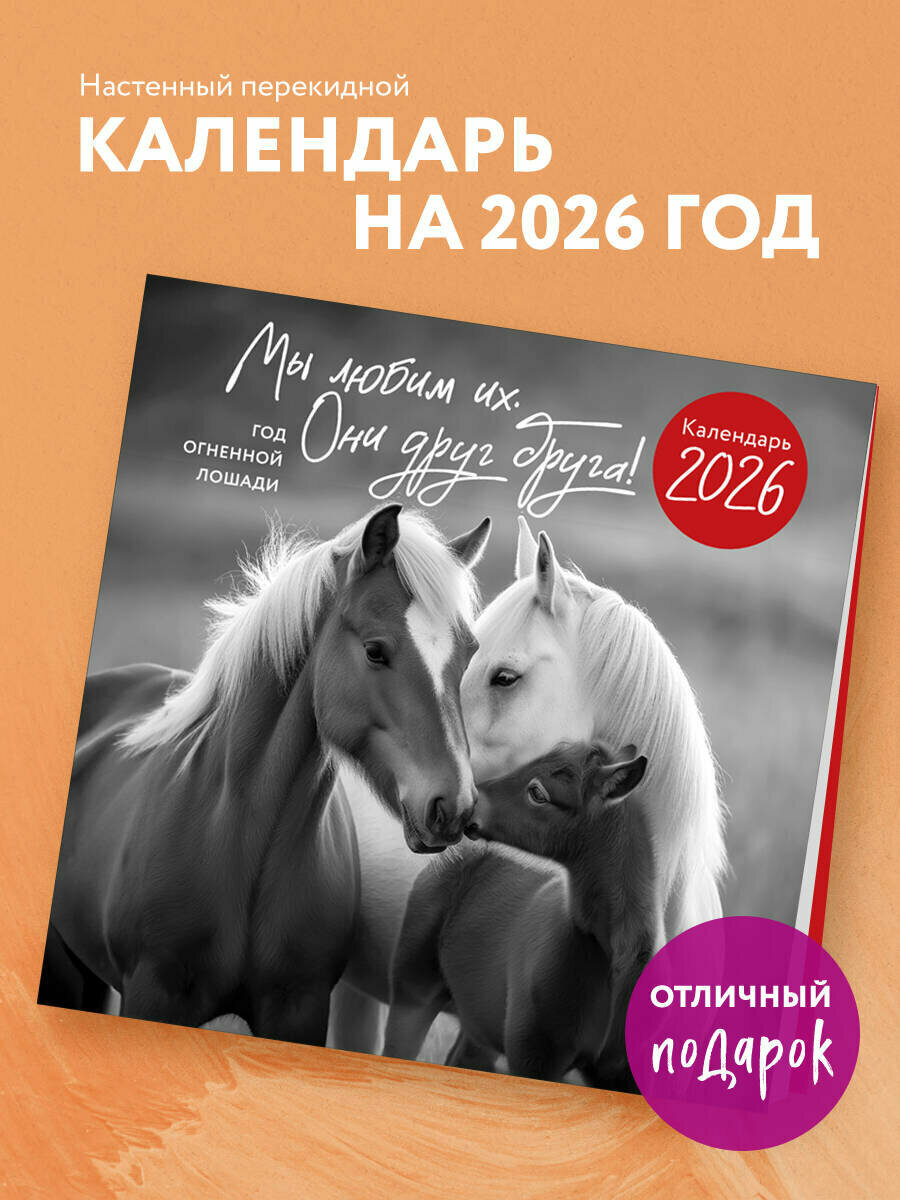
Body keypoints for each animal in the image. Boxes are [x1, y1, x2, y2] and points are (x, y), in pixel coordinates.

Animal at [38, 504, 490, 1045]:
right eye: (375, 650)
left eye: (468, 654)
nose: (453, 806)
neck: (238, 837)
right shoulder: (155, 996)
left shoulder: (298, 1010)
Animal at [382, 742, 658, 1087]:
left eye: (538, 792)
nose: (464, 809)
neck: (613, 959)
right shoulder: (535, 1059)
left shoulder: (621, 1074)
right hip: (413, 994)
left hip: (477, 1023)